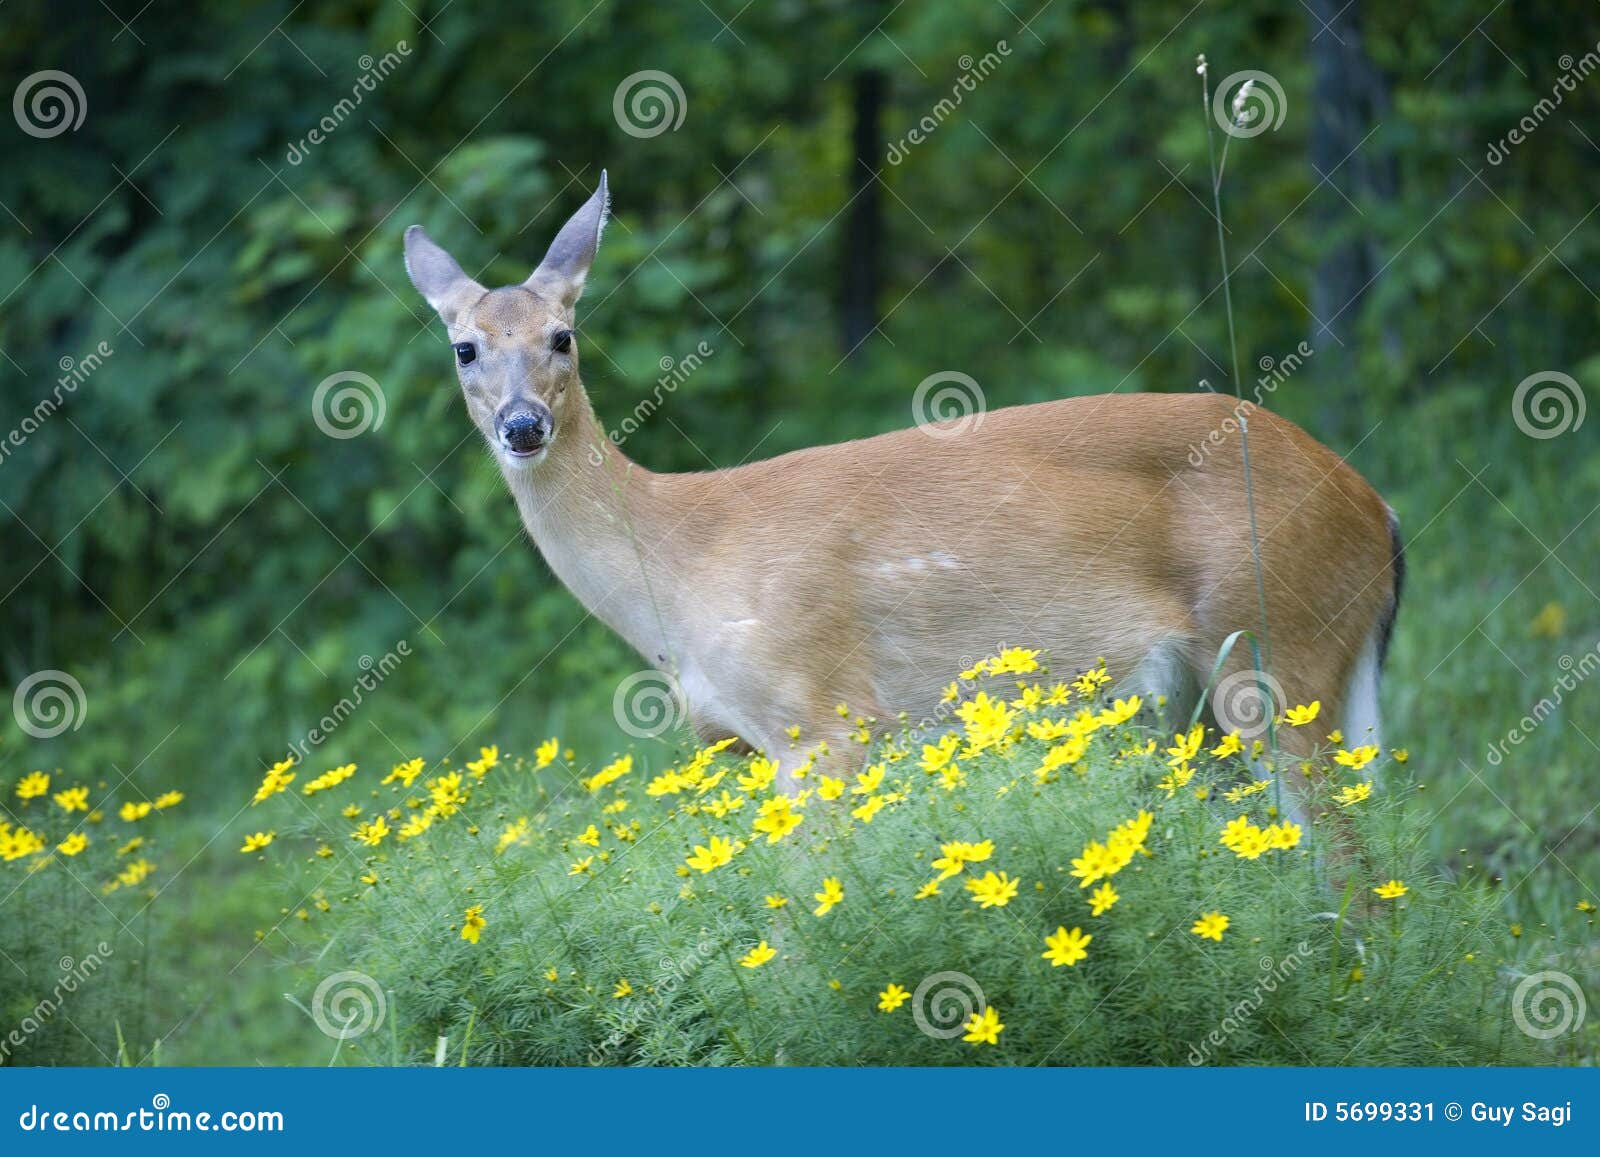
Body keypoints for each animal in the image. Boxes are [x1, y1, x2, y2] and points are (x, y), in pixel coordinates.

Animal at [403, 172, 1403, 827]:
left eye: (562, 336)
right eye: (464, 347)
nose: (523, 424)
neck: (679, 565)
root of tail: (1376, 509)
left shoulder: (820, 720)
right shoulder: (730, 744)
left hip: (1278, 642)